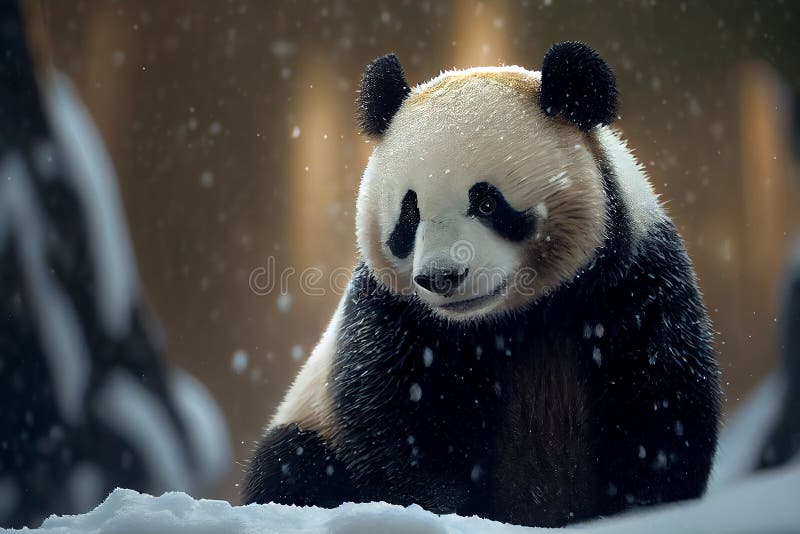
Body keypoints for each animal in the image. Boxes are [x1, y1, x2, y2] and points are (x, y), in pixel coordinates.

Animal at [244, 42, 721, 527]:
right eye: (409, 214)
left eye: (487, 202)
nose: (441, 276)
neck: (517, 316)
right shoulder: (394, 312)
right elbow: (390, 416)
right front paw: (434, 508)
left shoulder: (633, 282)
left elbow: (660, 404)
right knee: (291, 463)